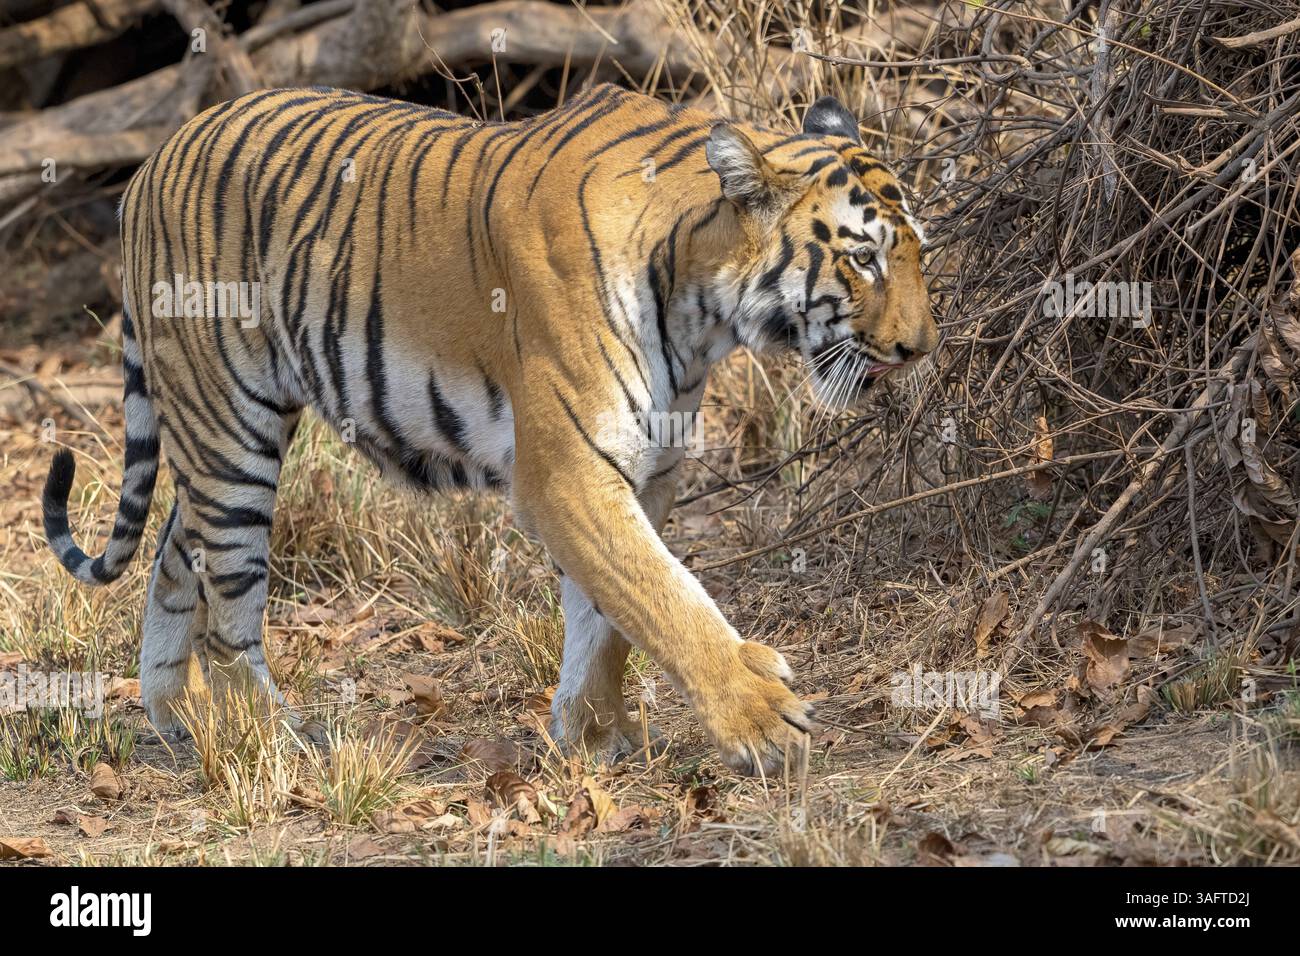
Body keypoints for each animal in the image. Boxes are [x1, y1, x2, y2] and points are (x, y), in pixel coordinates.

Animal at [42, 83, 937, 775]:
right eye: (863, 258)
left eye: (917, 254)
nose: (922, 347)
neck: (699, 304)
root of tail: (150, 164)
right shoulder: (568, 468)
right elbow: (661, 596)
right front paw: (761, 719)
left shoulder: (646, 467)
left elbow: (610, 615)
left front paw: (592, 736)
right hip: (231, 426)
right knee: (226, 605)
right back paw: (271, 742)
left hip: (219, 436)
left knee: (172, 552)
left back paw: (179, 719)